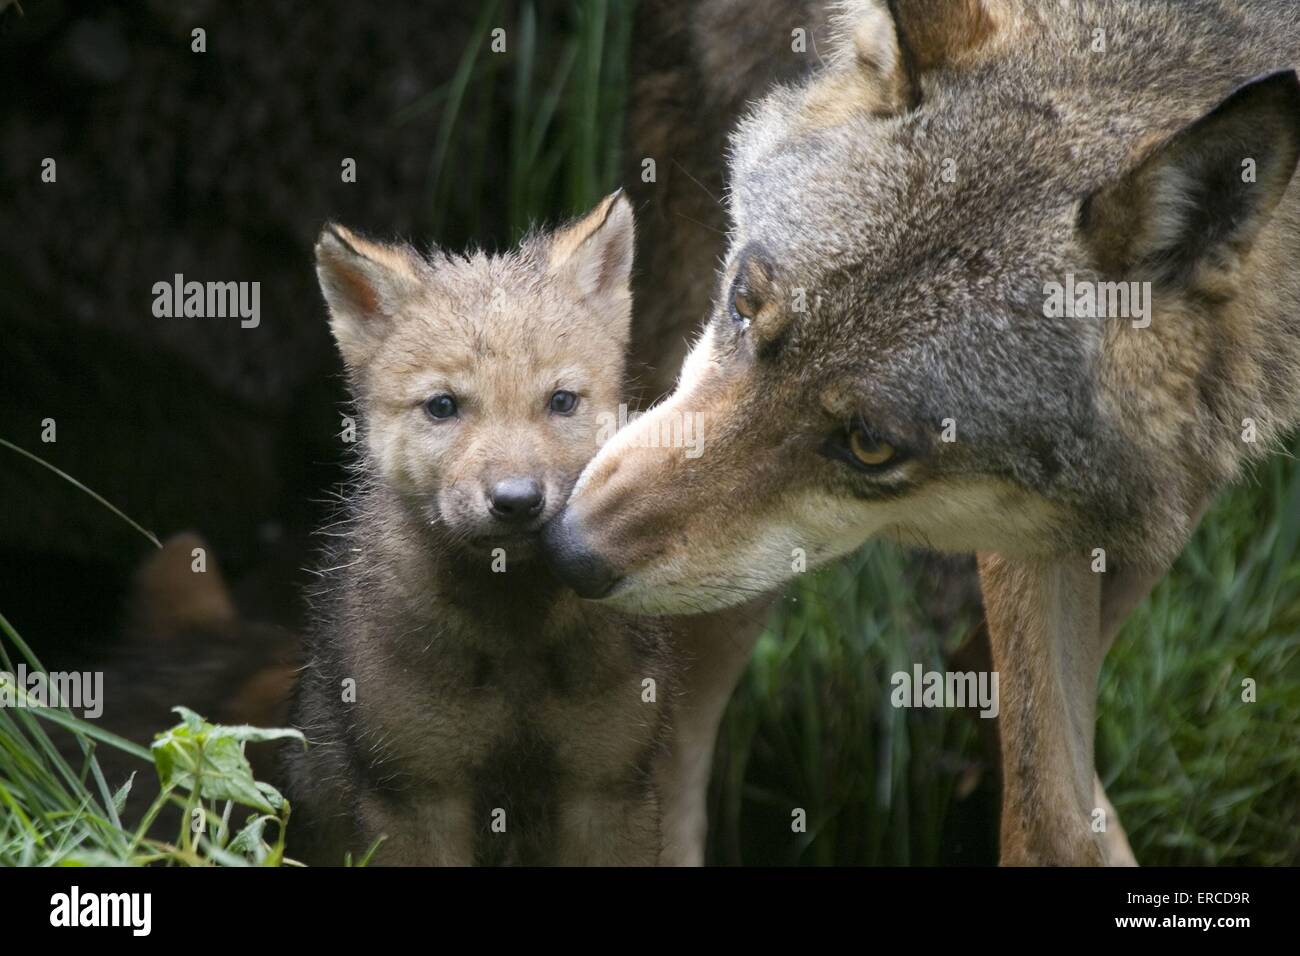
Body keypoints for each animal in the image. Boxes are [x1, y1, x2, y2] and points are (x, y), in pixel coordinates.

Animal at [284, 193, 677, 865]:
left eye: (562, 401)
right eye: (443, 406)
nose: (516, 501)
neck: (514, 638)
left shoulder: (609, 787)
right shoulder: (415, 795)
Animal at [549, 0, 1300, 864]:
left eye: (871, 445)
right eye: (743, 303)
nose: (568, 550)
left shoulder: (1157, 484)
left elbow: (1055, 806)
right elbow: (1049, 804)